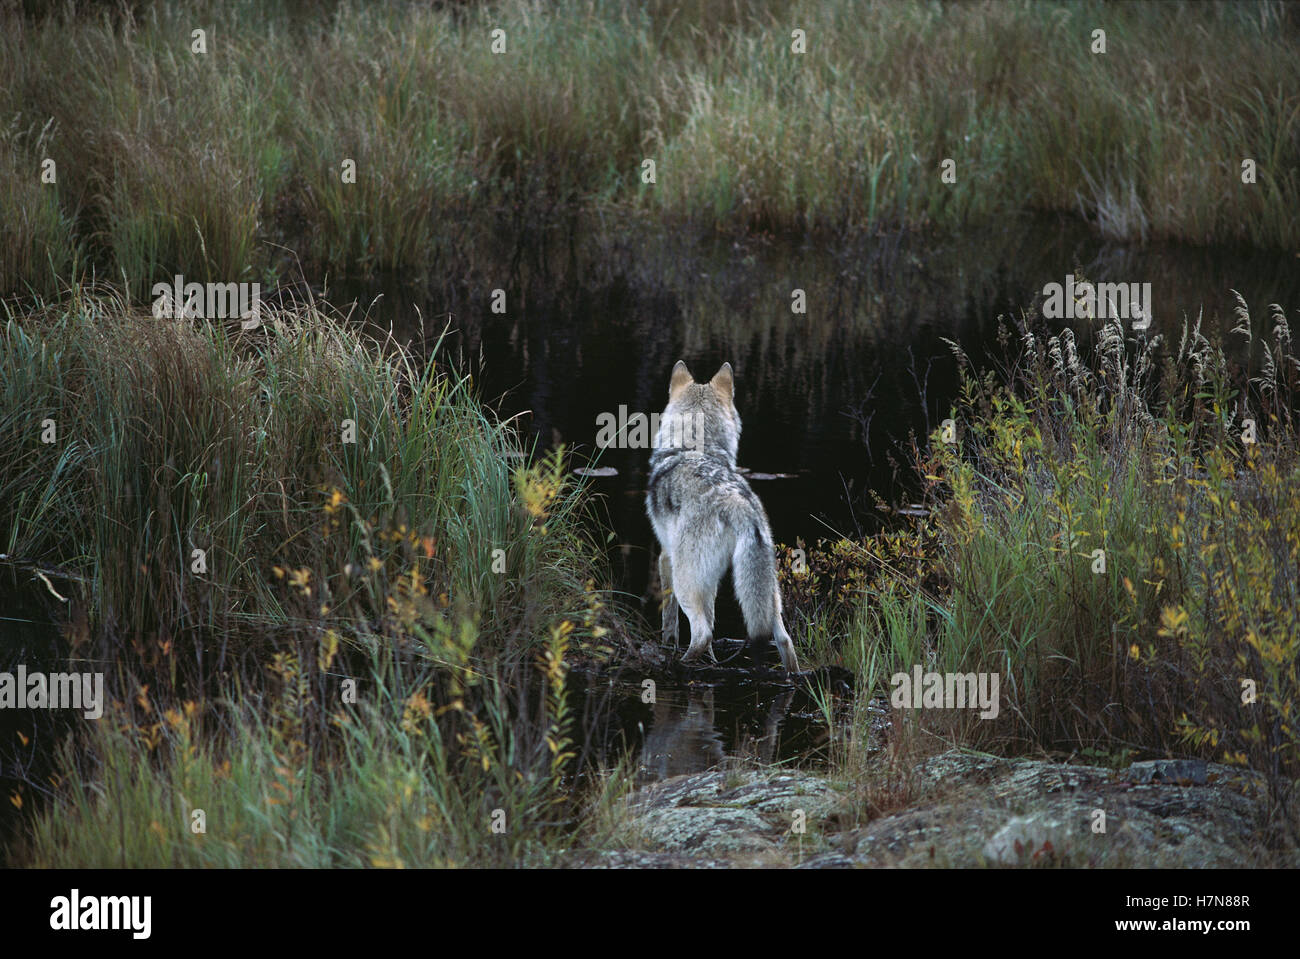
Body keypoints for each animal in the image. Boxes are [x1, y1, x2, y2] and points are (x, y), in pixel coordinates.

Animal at [646, 361, 800, 674]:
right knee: (784, 640)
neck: (694, 446)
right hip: (767, 593)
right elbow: (712, 615)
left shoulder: (665, 558)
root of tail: (739, 503)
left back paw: (683, 664)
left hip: (684, 580)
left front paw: (668, 645)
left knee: (702, 633)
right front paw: (713, 661)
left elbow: (669, 621)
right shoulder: (711, 582)